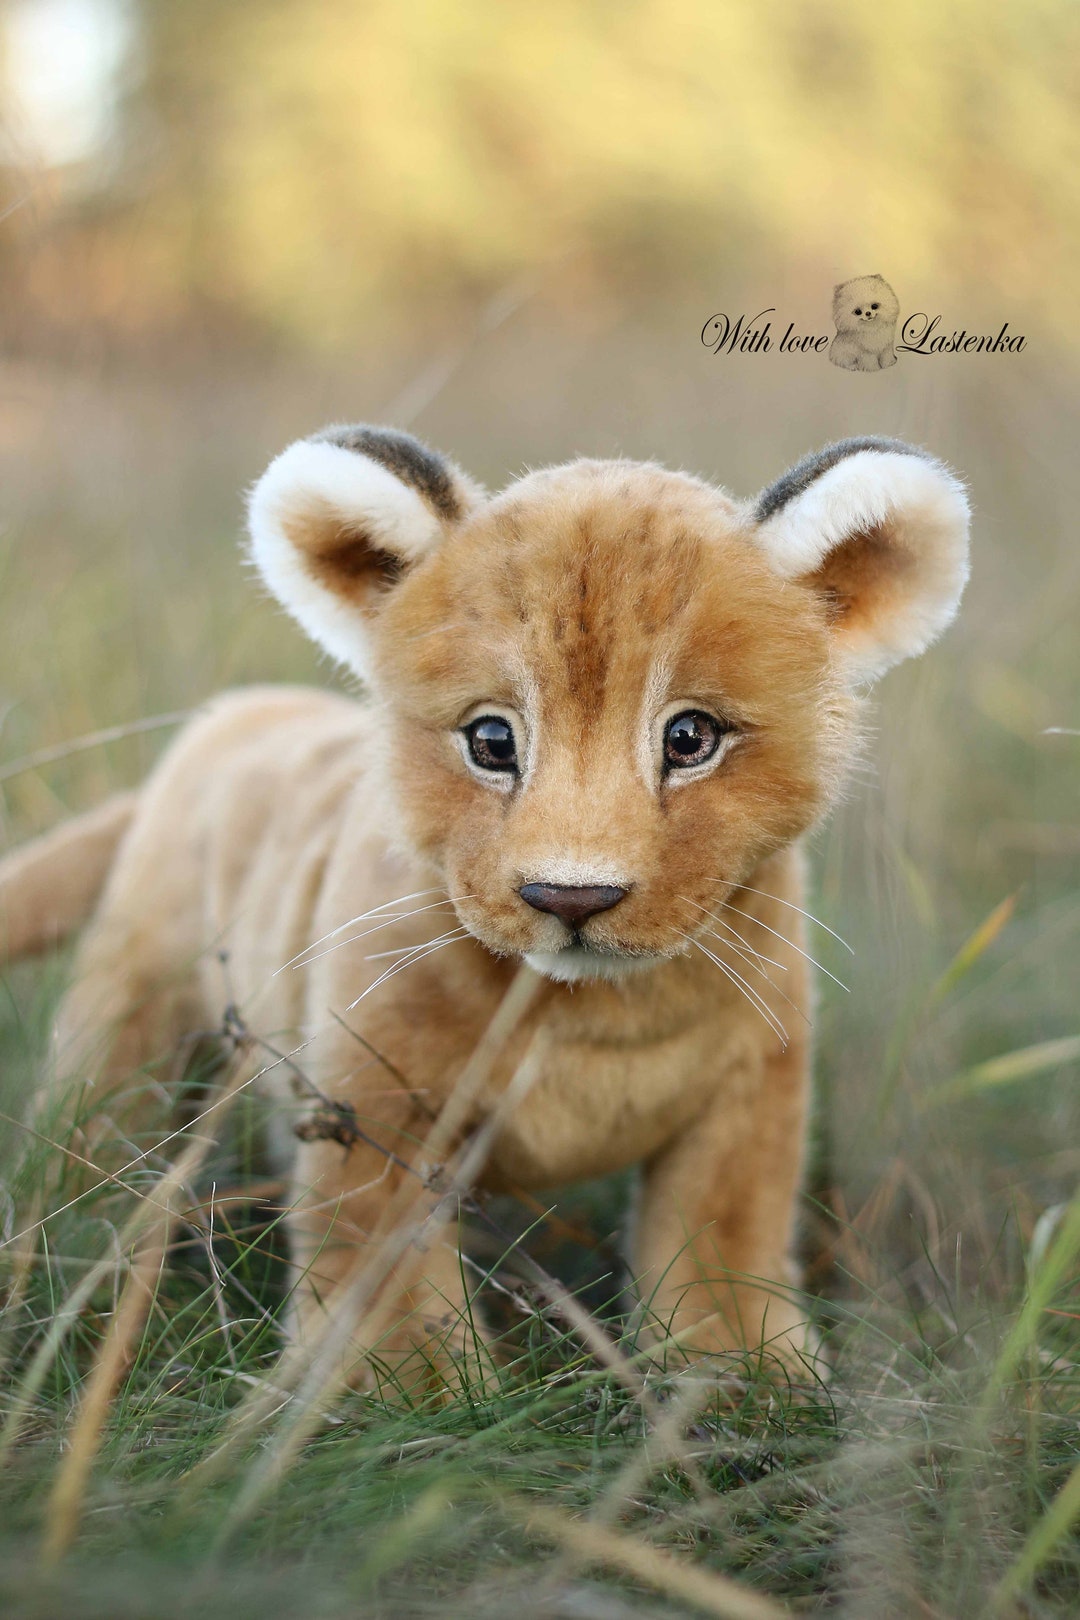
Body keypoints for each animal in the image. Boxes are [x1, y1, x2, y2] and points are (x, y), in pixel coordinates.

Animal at [0, 426, 970, 1396]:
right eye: (492, 740)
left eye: (690, 737)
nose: (572, 896)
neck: (591, 1010)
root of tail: (232, 713)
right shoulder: (375, 1094)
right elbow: (379, 1258)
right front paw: (402, 1390)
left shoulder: (750, 1089)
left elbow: (723, 1236)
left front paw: (744, 1373)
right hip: (131, 1013)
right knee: (94, 1127)